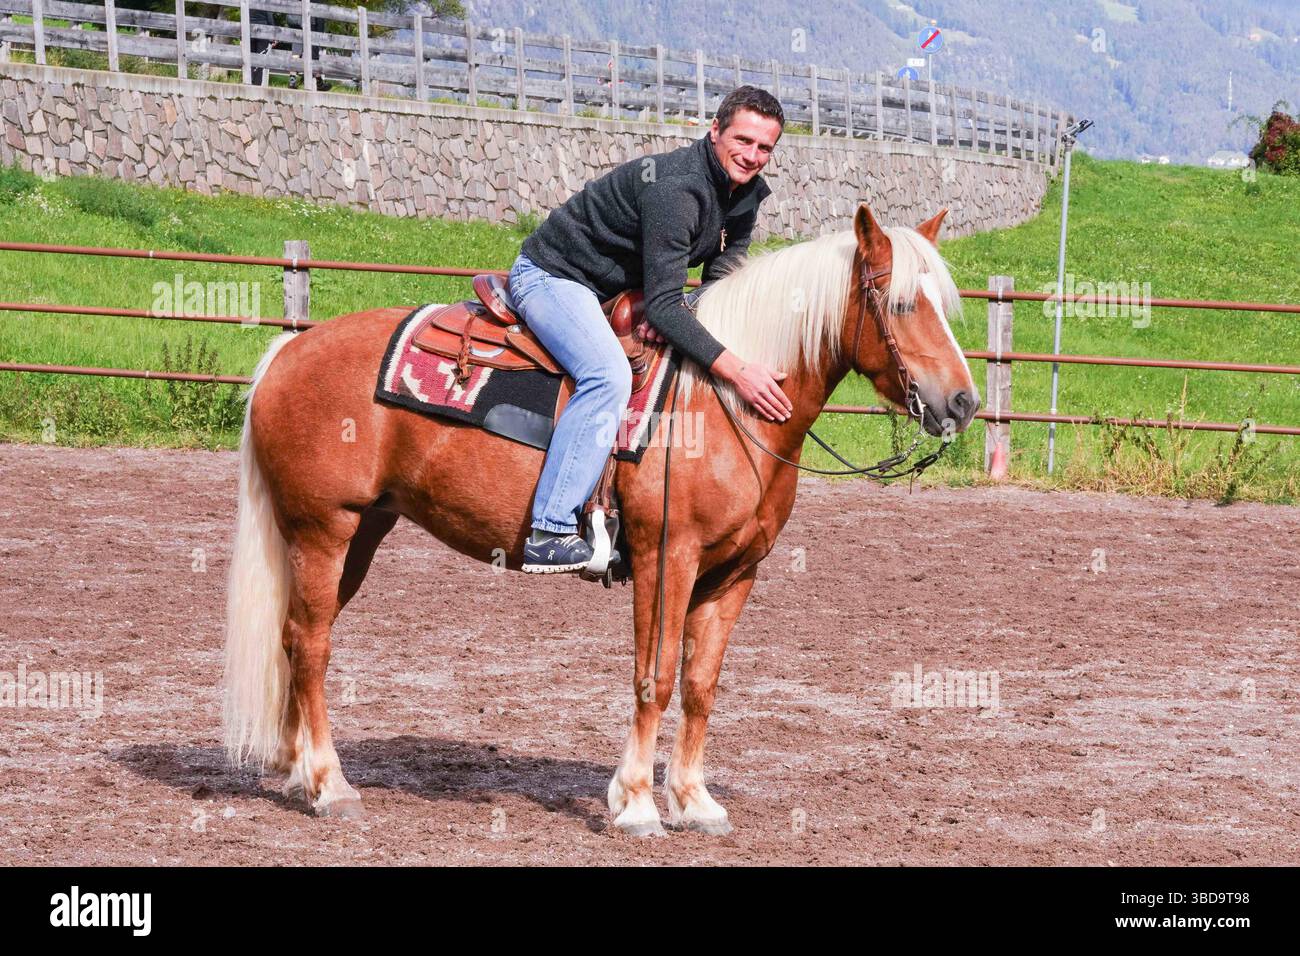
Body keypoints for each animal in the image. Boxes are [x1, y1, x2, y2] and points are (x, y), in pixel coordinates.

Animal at [222, 201, 980, 836]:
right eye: (902, 302)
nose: (963, 403)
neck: (719, 400)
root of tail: (290, 351)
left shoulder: (735, 574)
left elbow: (700, 685)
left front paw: (693, 801)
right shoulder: (666, 557)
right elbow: (656, 677)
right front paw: (638, 803)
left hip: (356, 534)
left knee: (296, 636)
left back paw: (296, 771)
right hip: (324, 528)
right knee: (312, 646)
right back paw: (329, 786)